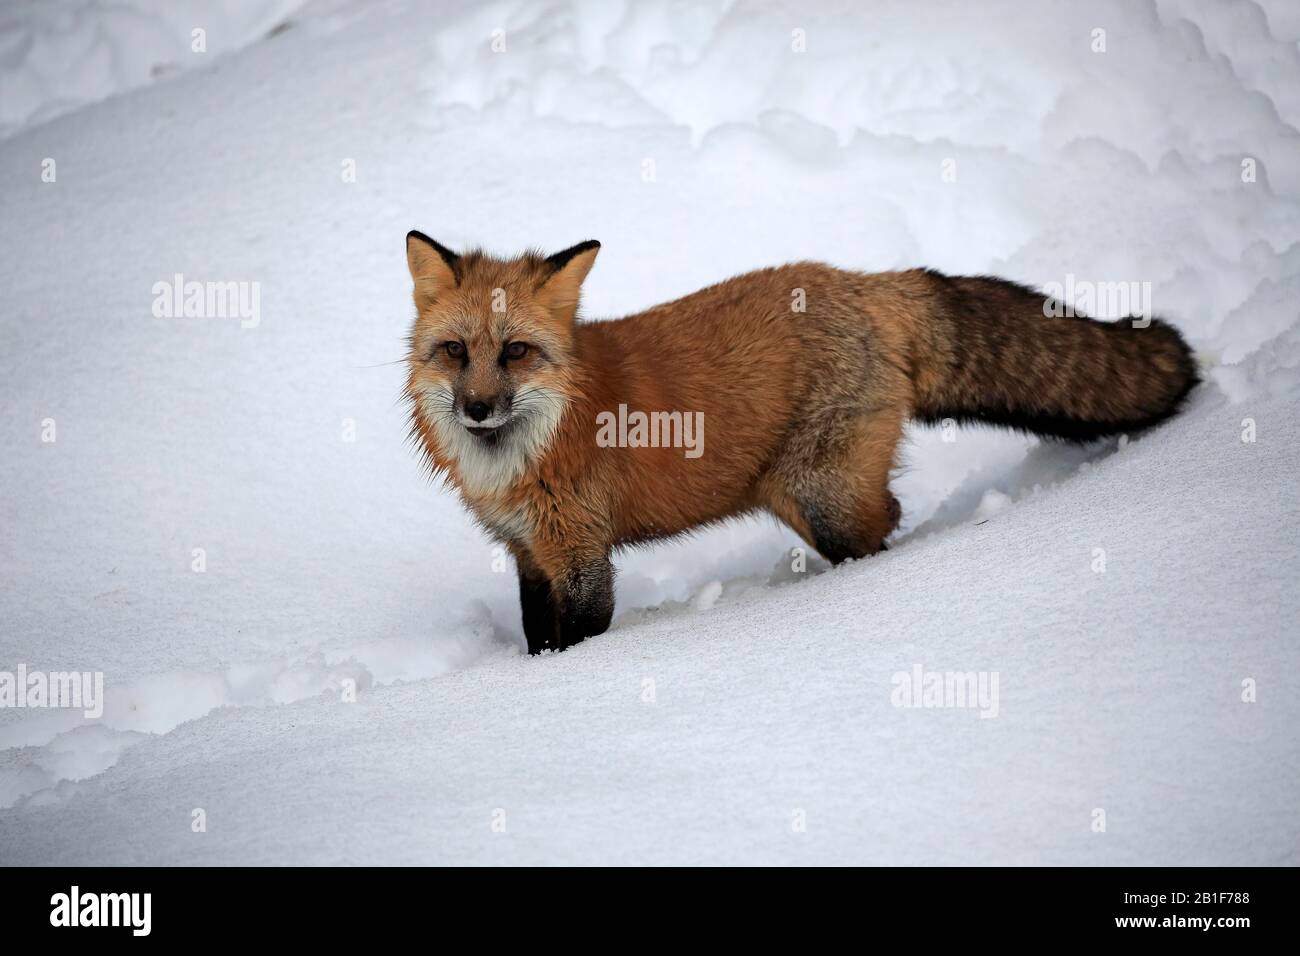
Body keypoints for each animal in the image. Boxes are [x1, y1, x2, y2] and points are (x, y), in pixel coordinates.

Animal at [404, 232, 1198, 654]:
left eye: (515, 352)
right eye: (455, 351)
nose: (477, 408)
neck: (518, 459)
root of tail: (868, 282)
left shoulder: (582, 555)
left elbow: (578, 640)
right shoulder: (528, 553)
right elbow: (537, 636)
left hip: (822, 499)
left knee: (886, 526)